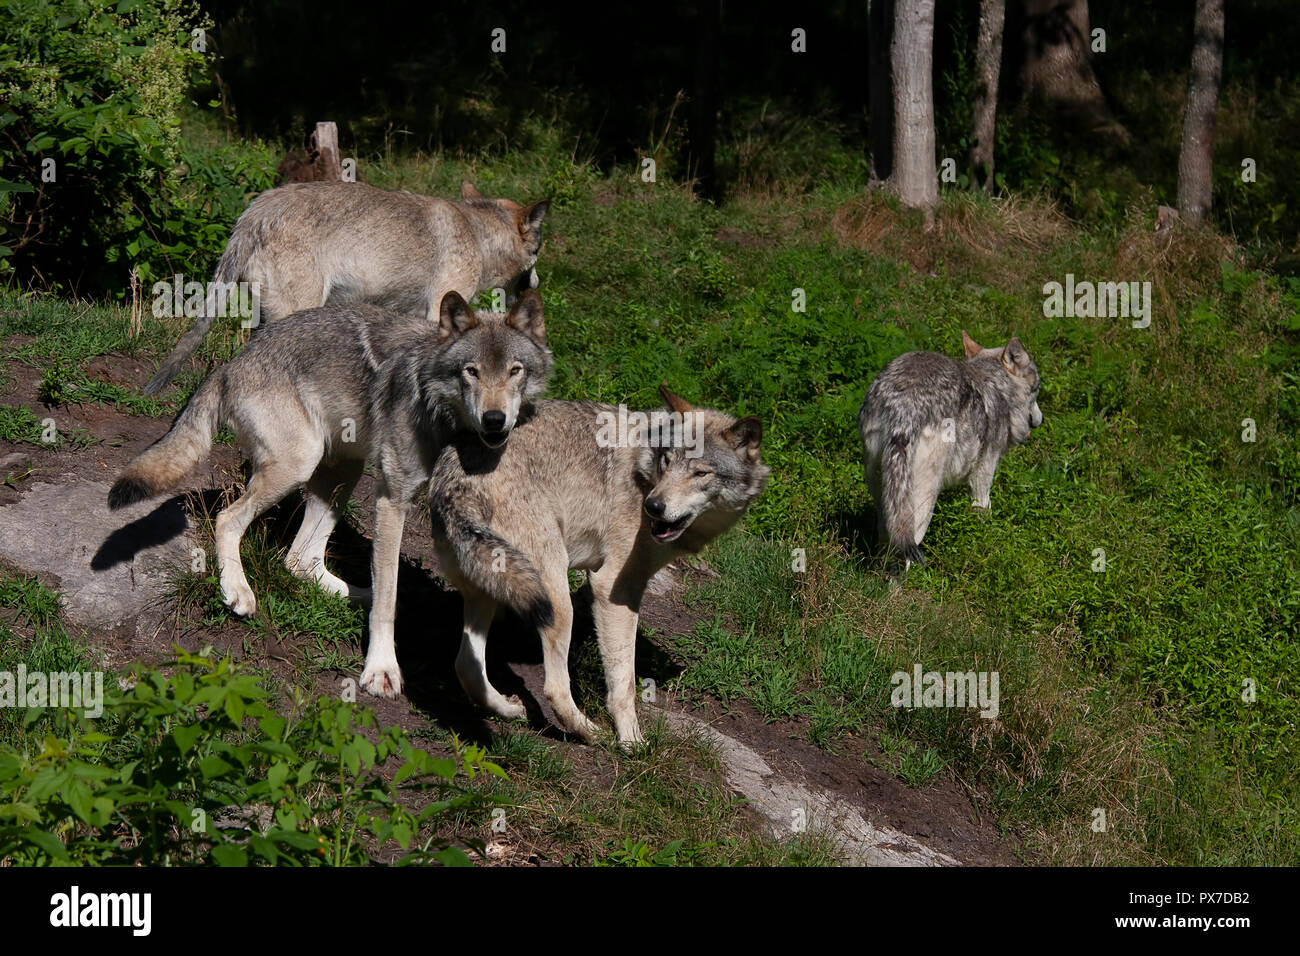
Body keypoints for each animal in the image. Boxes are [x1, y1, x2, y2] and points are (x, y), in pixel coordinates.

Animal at [109, 290, 552, 695]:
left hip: (343, 469)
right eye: (470, 371)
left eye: (515, 371)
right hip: (299, 464)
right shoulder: (392, 501)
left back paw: (353, 592)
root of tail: (230, 363)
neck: (442, 416)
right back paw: (238, 590)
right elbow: (387, 601)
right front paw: (381, 670)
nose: (494, 419)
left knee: (298, 561)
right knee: (228, 520)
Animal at [417, 386, 769, 746]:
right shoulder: (615, 587)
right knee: (554, 688)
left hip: (493, 589)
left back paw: (512, 710)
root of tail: (454, 478)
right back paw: (591, 734)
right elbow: (624, 683)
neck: (645, 471)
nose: (653, 506)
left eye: (700, 473)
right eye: (667, 462)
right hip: (556, 598)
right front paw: (632, 742)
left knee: (466, 666)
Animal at [858, 332, 1042, 571]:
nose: (1040, 420)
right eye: (1037, 390)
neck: (999, 387)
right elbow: (984, 516)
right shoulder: (982, 479)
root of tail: (904, 405)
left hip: (886, 504)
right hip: (922, 505)